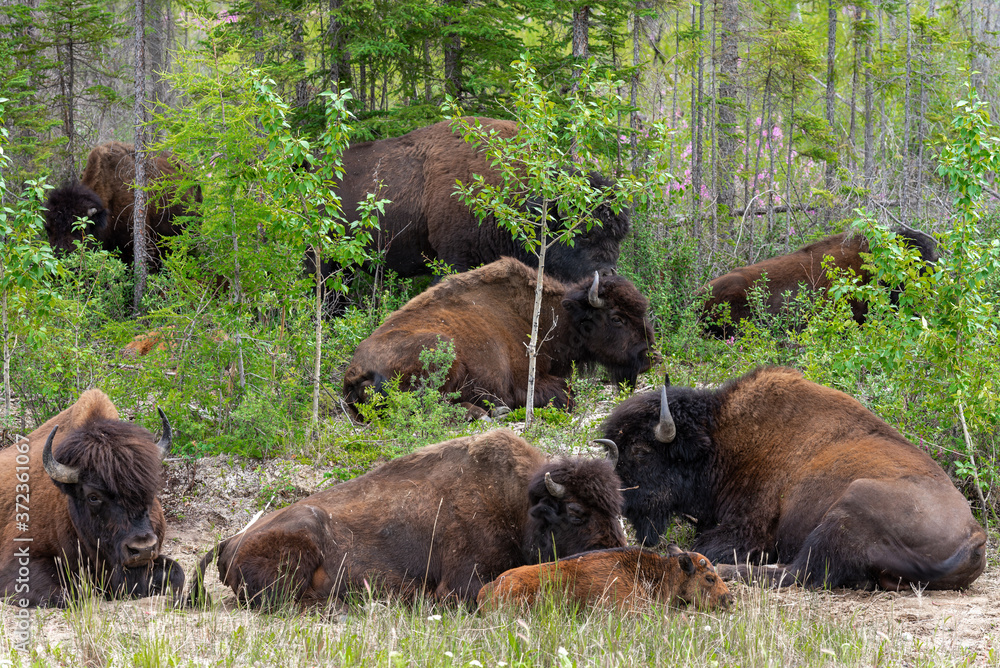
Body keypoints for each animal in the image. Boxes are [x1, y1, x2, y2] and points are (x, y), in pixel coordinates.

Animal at [189, 429, 625, 609]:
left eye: (617, 506)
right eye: (576, 512)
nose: (616, 553)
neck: (518, 503)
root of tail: (230, 541)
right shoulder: (461, 584)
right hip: (301, 544)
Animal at [342, 257, 658, 419]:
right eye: (617, 318)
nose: (650, 356)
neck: (556, 315)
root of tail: (354, 369)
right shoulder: (523, 385)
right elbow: (567, 394)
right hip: (441, 350)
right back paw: (484, 412)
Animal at [603, 366, 987, 590]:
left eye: (641, 451)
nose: (622, 504)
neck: (719, 440)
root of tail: (975, 538)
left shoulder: (747, 529)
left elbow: (712, 543)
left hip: (851, 503)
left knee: (797, 572)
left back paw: (703, 564)